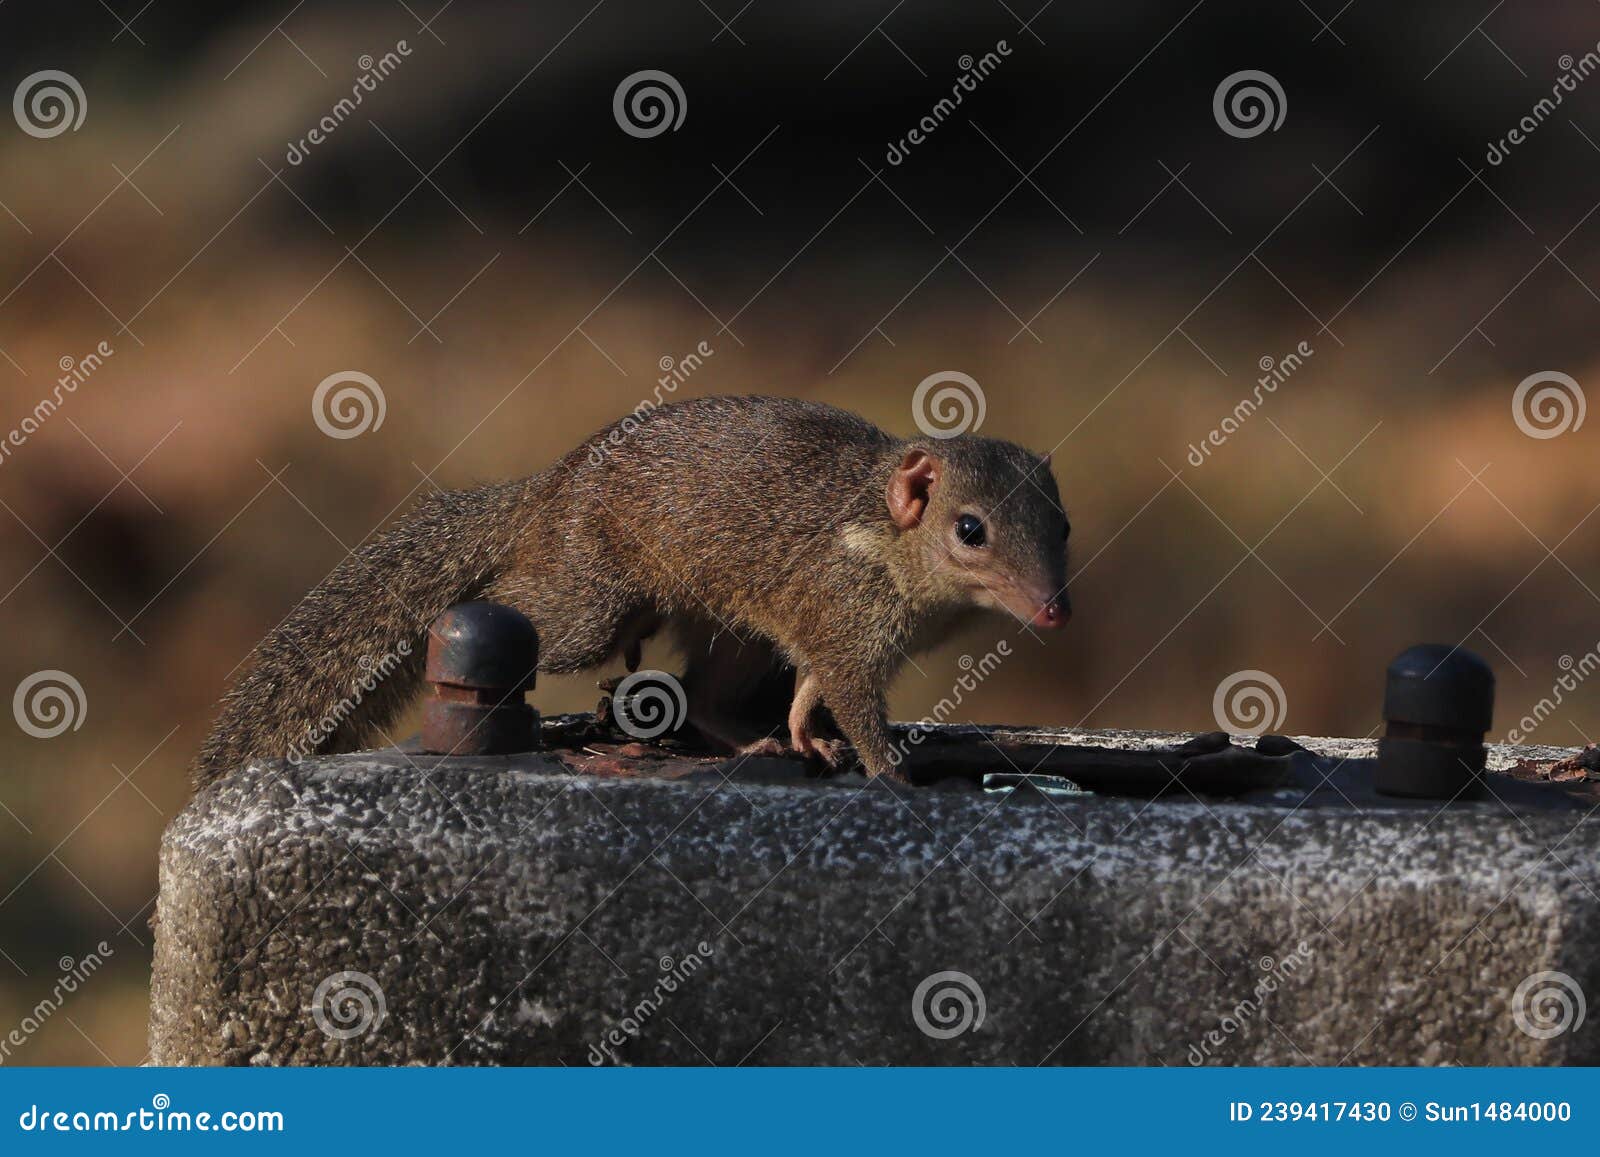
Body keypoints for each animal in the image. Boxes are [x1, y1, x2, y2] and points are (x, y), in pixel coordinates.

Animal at [193, 395, 1071, 786]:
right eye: (970, 529)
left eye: (1062, 526)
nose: (1054, 609)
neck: (884, 541)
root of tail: (543, 492)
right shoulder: (847, 622)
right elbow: (852, 701)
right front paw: (892, 770)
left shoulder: (821, 632)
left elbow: (810, 690)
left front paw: (804, 737)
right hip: (590, 606)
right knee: (512, 603)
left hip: (729, 633)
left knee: (705, 693)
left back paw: (747, 738)